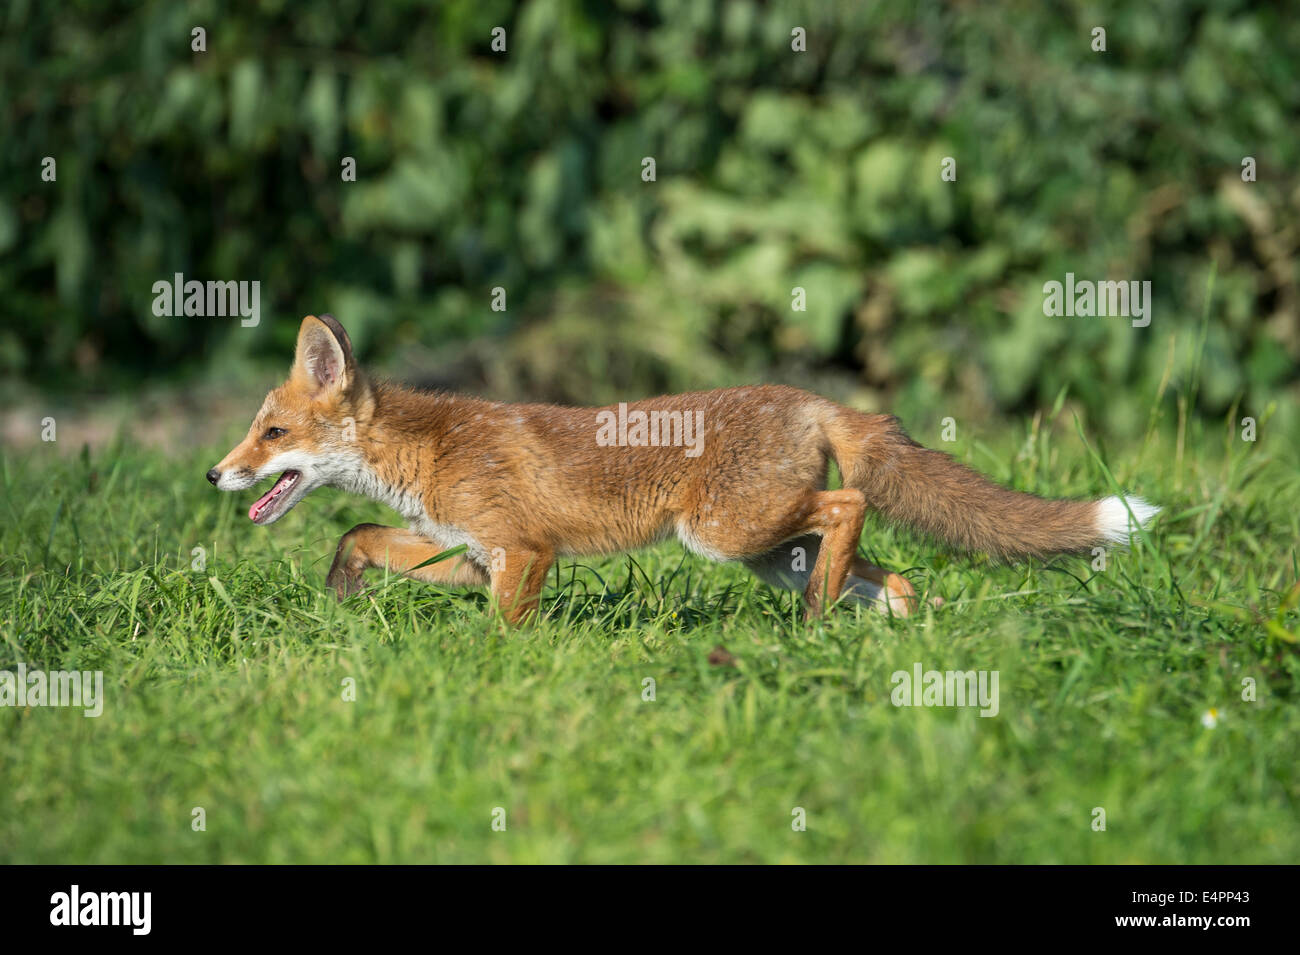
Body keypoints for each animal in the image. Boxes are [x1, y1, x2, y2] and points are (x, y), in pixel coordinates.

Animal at [208, 314, 1159, 624]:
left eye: (271, 433)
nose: (215, 476)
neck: (430, 449)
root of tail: (810, 398)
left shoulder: (524, 551)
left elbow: (504, 632)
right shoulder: (473, 551)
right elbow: (361, 533)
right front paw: (338, 596)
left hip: (727, 534)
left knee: (850, 501)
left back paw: (816, 625)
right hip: (769, 552)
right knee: (897, 576)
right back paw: (865, 640)